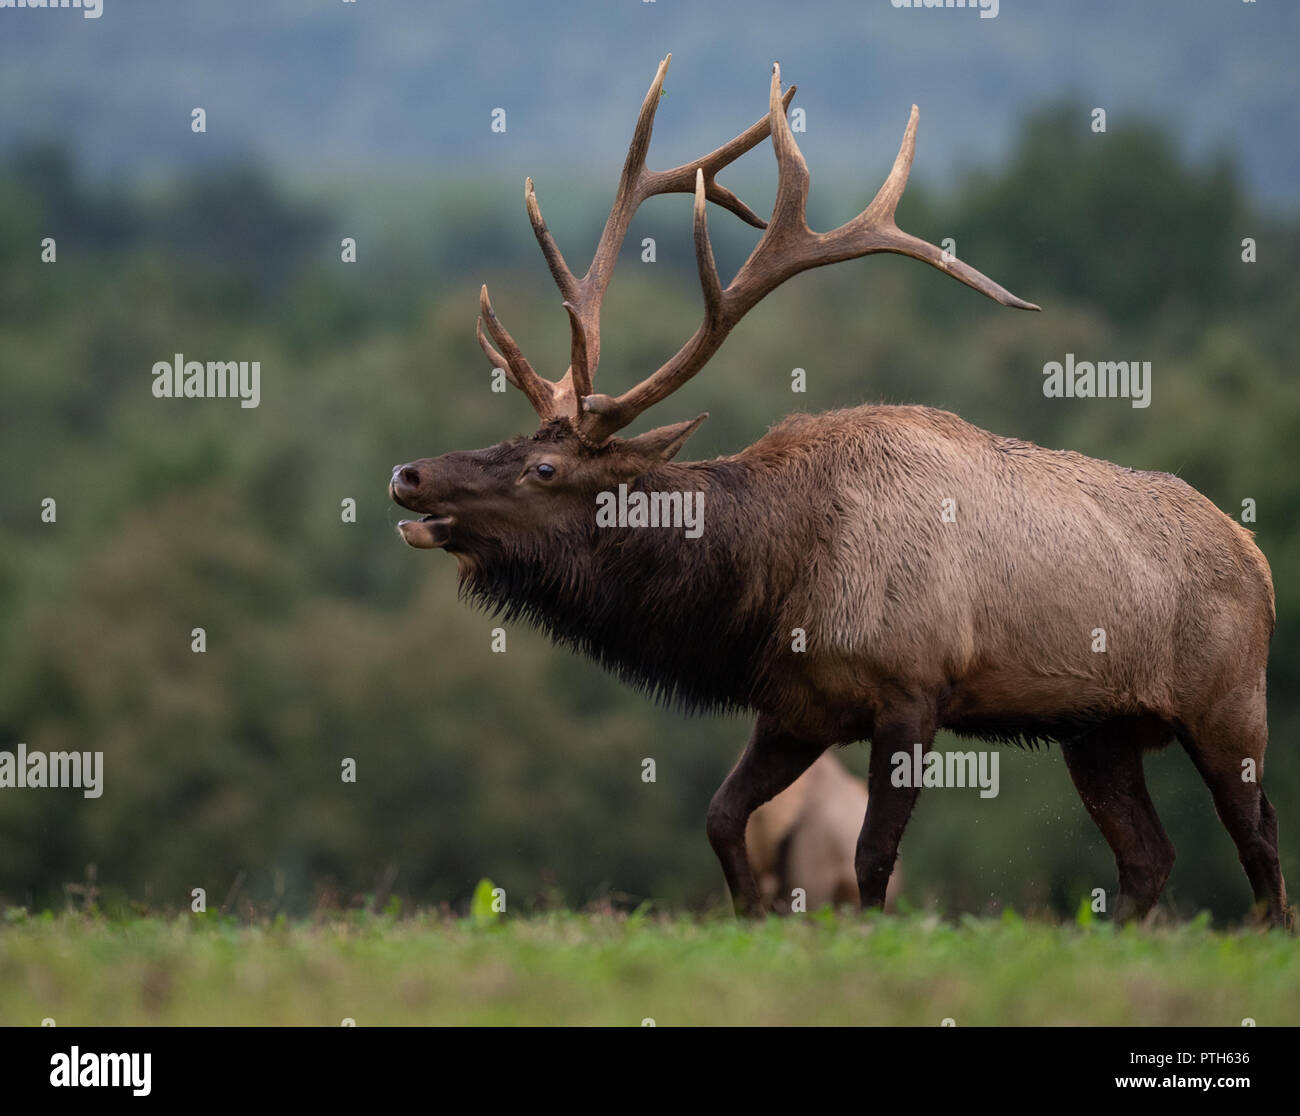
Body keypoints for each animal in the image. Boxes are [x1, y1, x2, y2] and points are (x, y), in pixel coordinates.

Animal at [390, 56, 1290, 930]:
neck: (777, 576)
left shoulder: (913, 691)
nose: (409, 475)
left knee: (1261, 842)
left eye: (546, 470)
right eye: (515, 441)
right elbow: (721, 819)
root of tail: (1258, 558)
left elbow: (872, 859)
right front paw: (754, 919)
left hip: (1229, 707)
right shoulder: (797, 706)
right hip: (1098, 731)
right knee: (1148, 858)